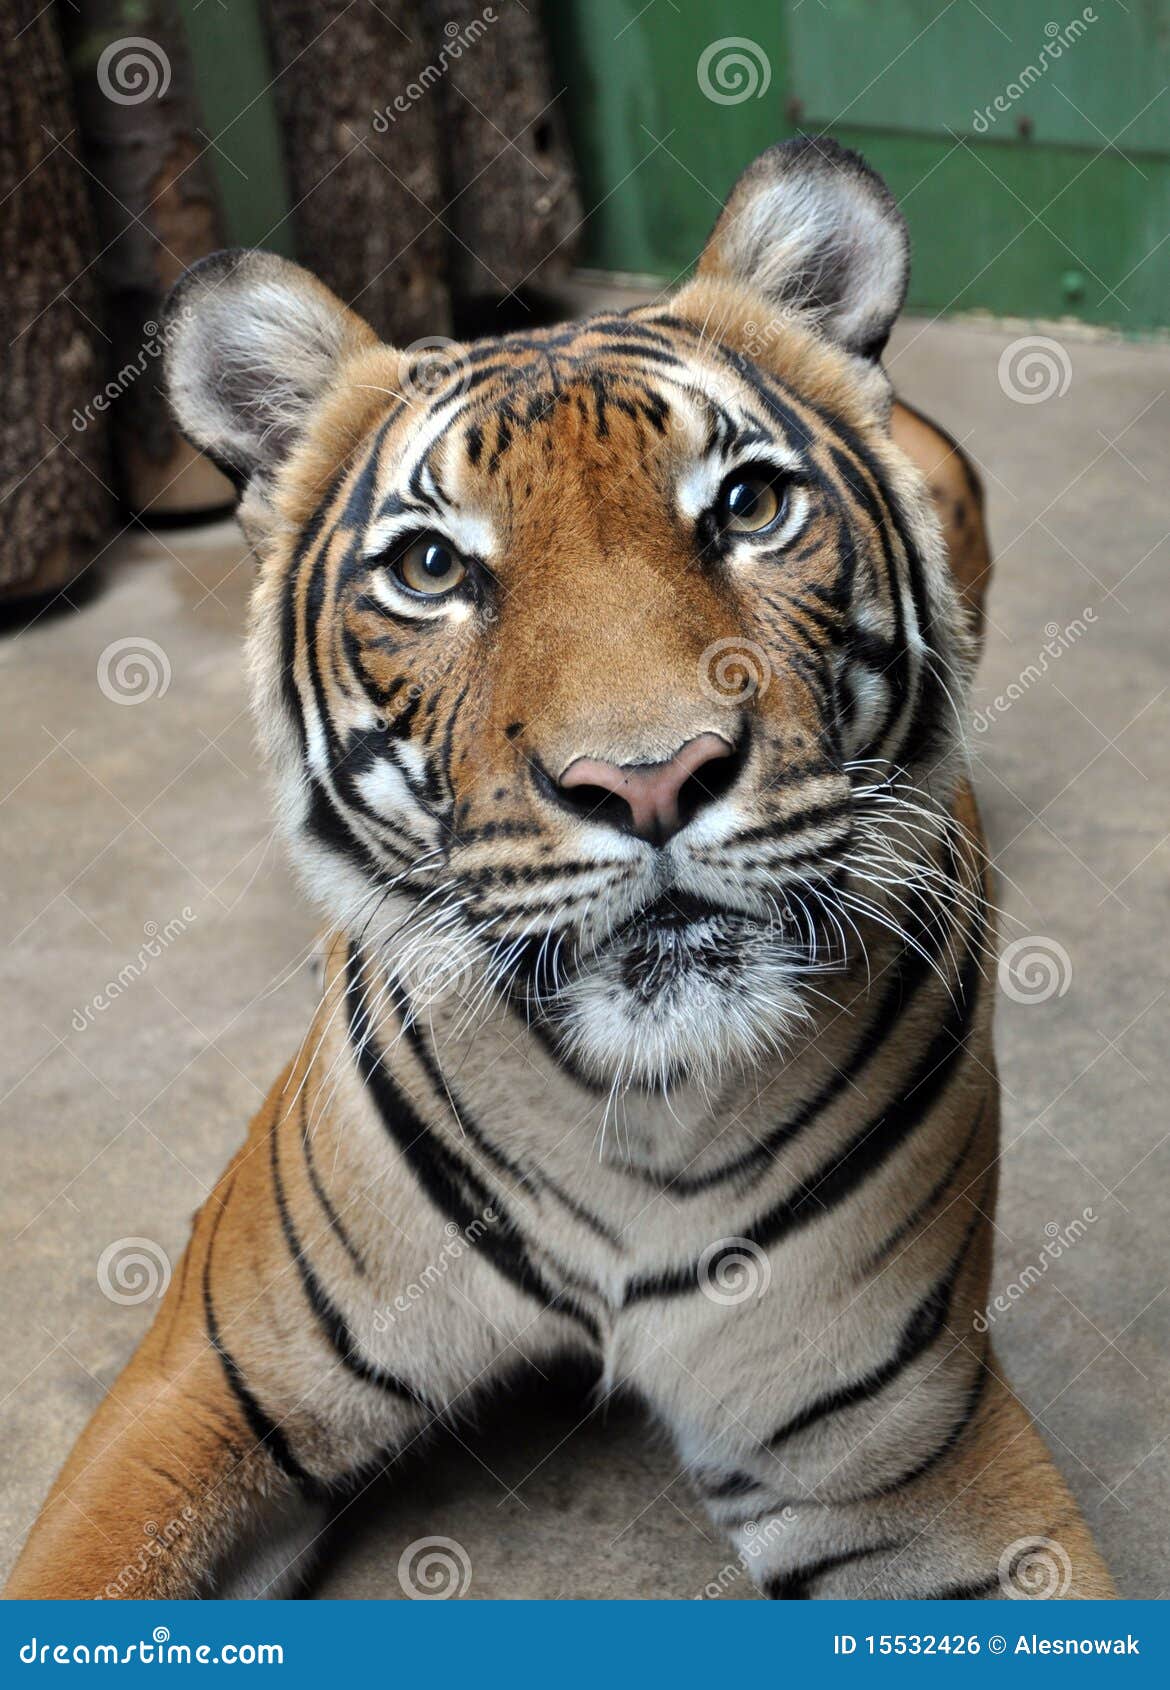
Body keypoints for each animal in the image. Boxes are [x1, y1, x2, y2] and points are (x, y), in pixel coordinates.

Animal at [7, 138, 1114, 1601]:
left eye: (749, 505)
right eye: (430, 566)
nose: (649, 779)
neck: (637, 1109)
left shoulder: (895, 1452)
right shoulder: (202, 1382)